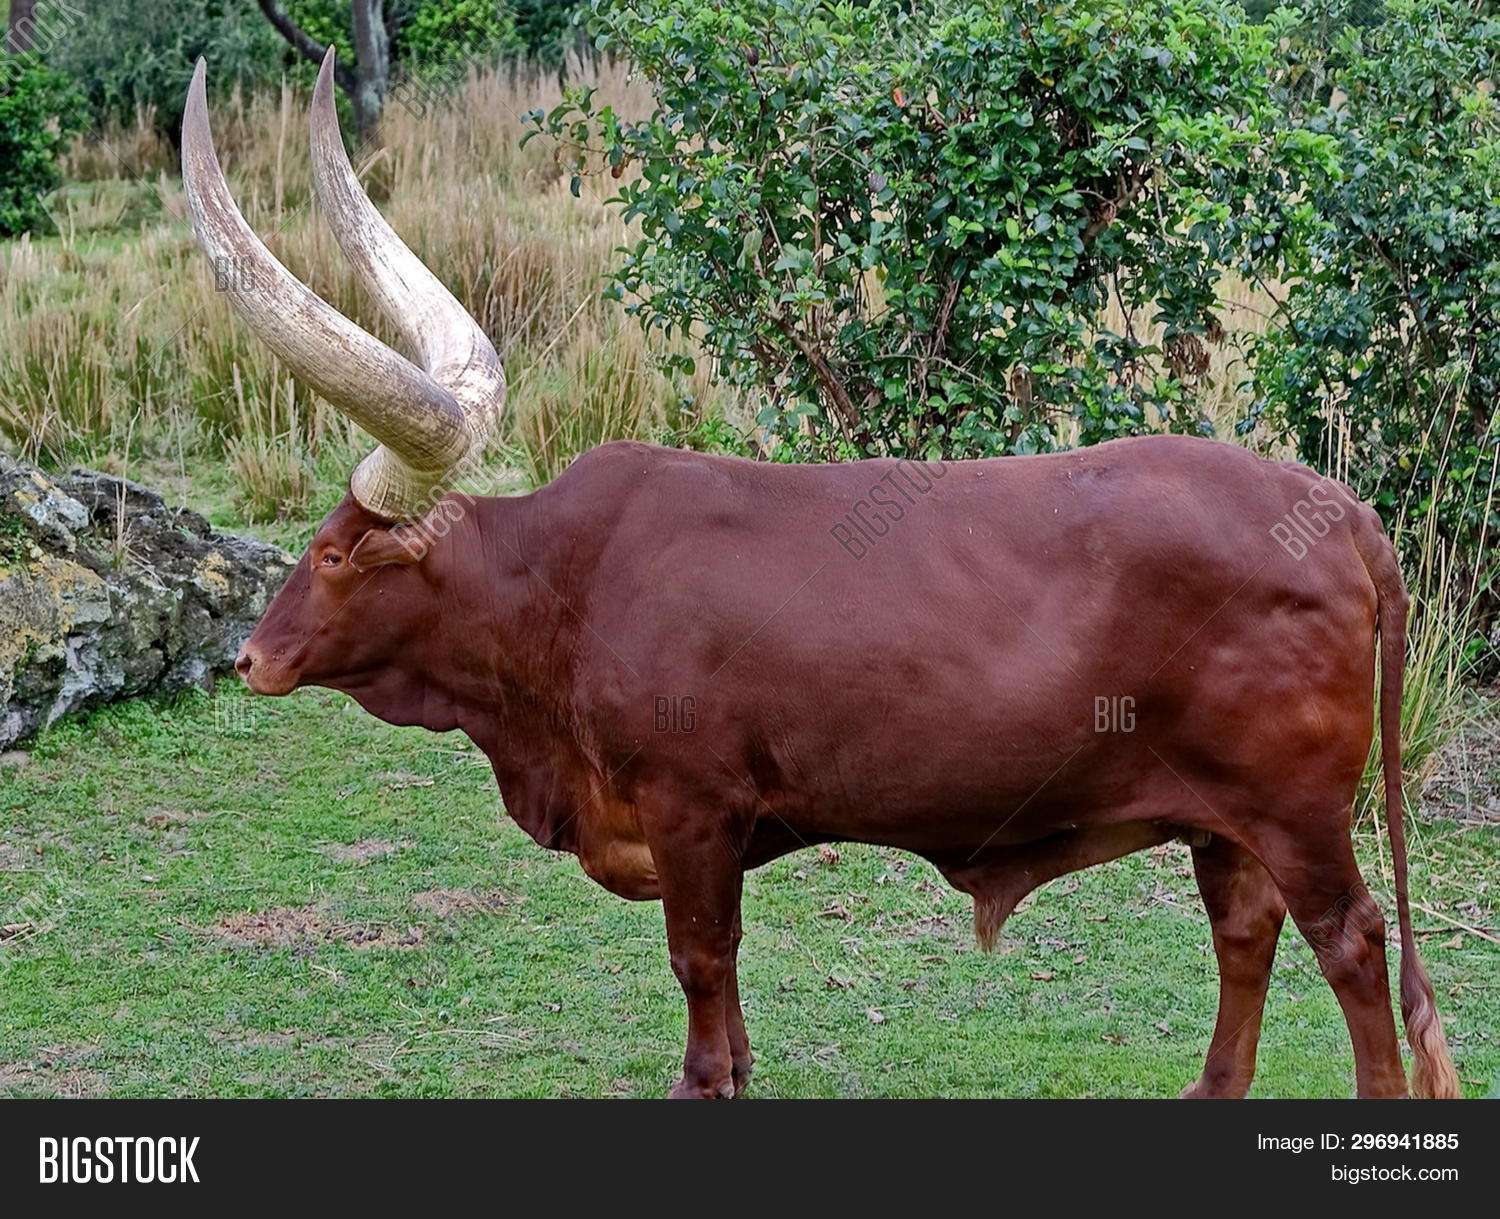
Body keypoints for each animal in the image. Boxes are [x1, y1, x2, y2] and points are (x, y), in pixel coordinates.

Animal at [180, 51, 1460, 1099]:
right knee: (1245, 933)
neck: (563, 589)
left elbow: (700, 958)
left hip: (1299, 810)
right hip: (1224, 818)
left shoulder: (690, 803)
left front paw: (705, 1079)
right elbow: (725, 971)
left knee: (1351, 946)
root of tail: (1340, 511)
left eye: (334, 554)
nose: (250, 658)